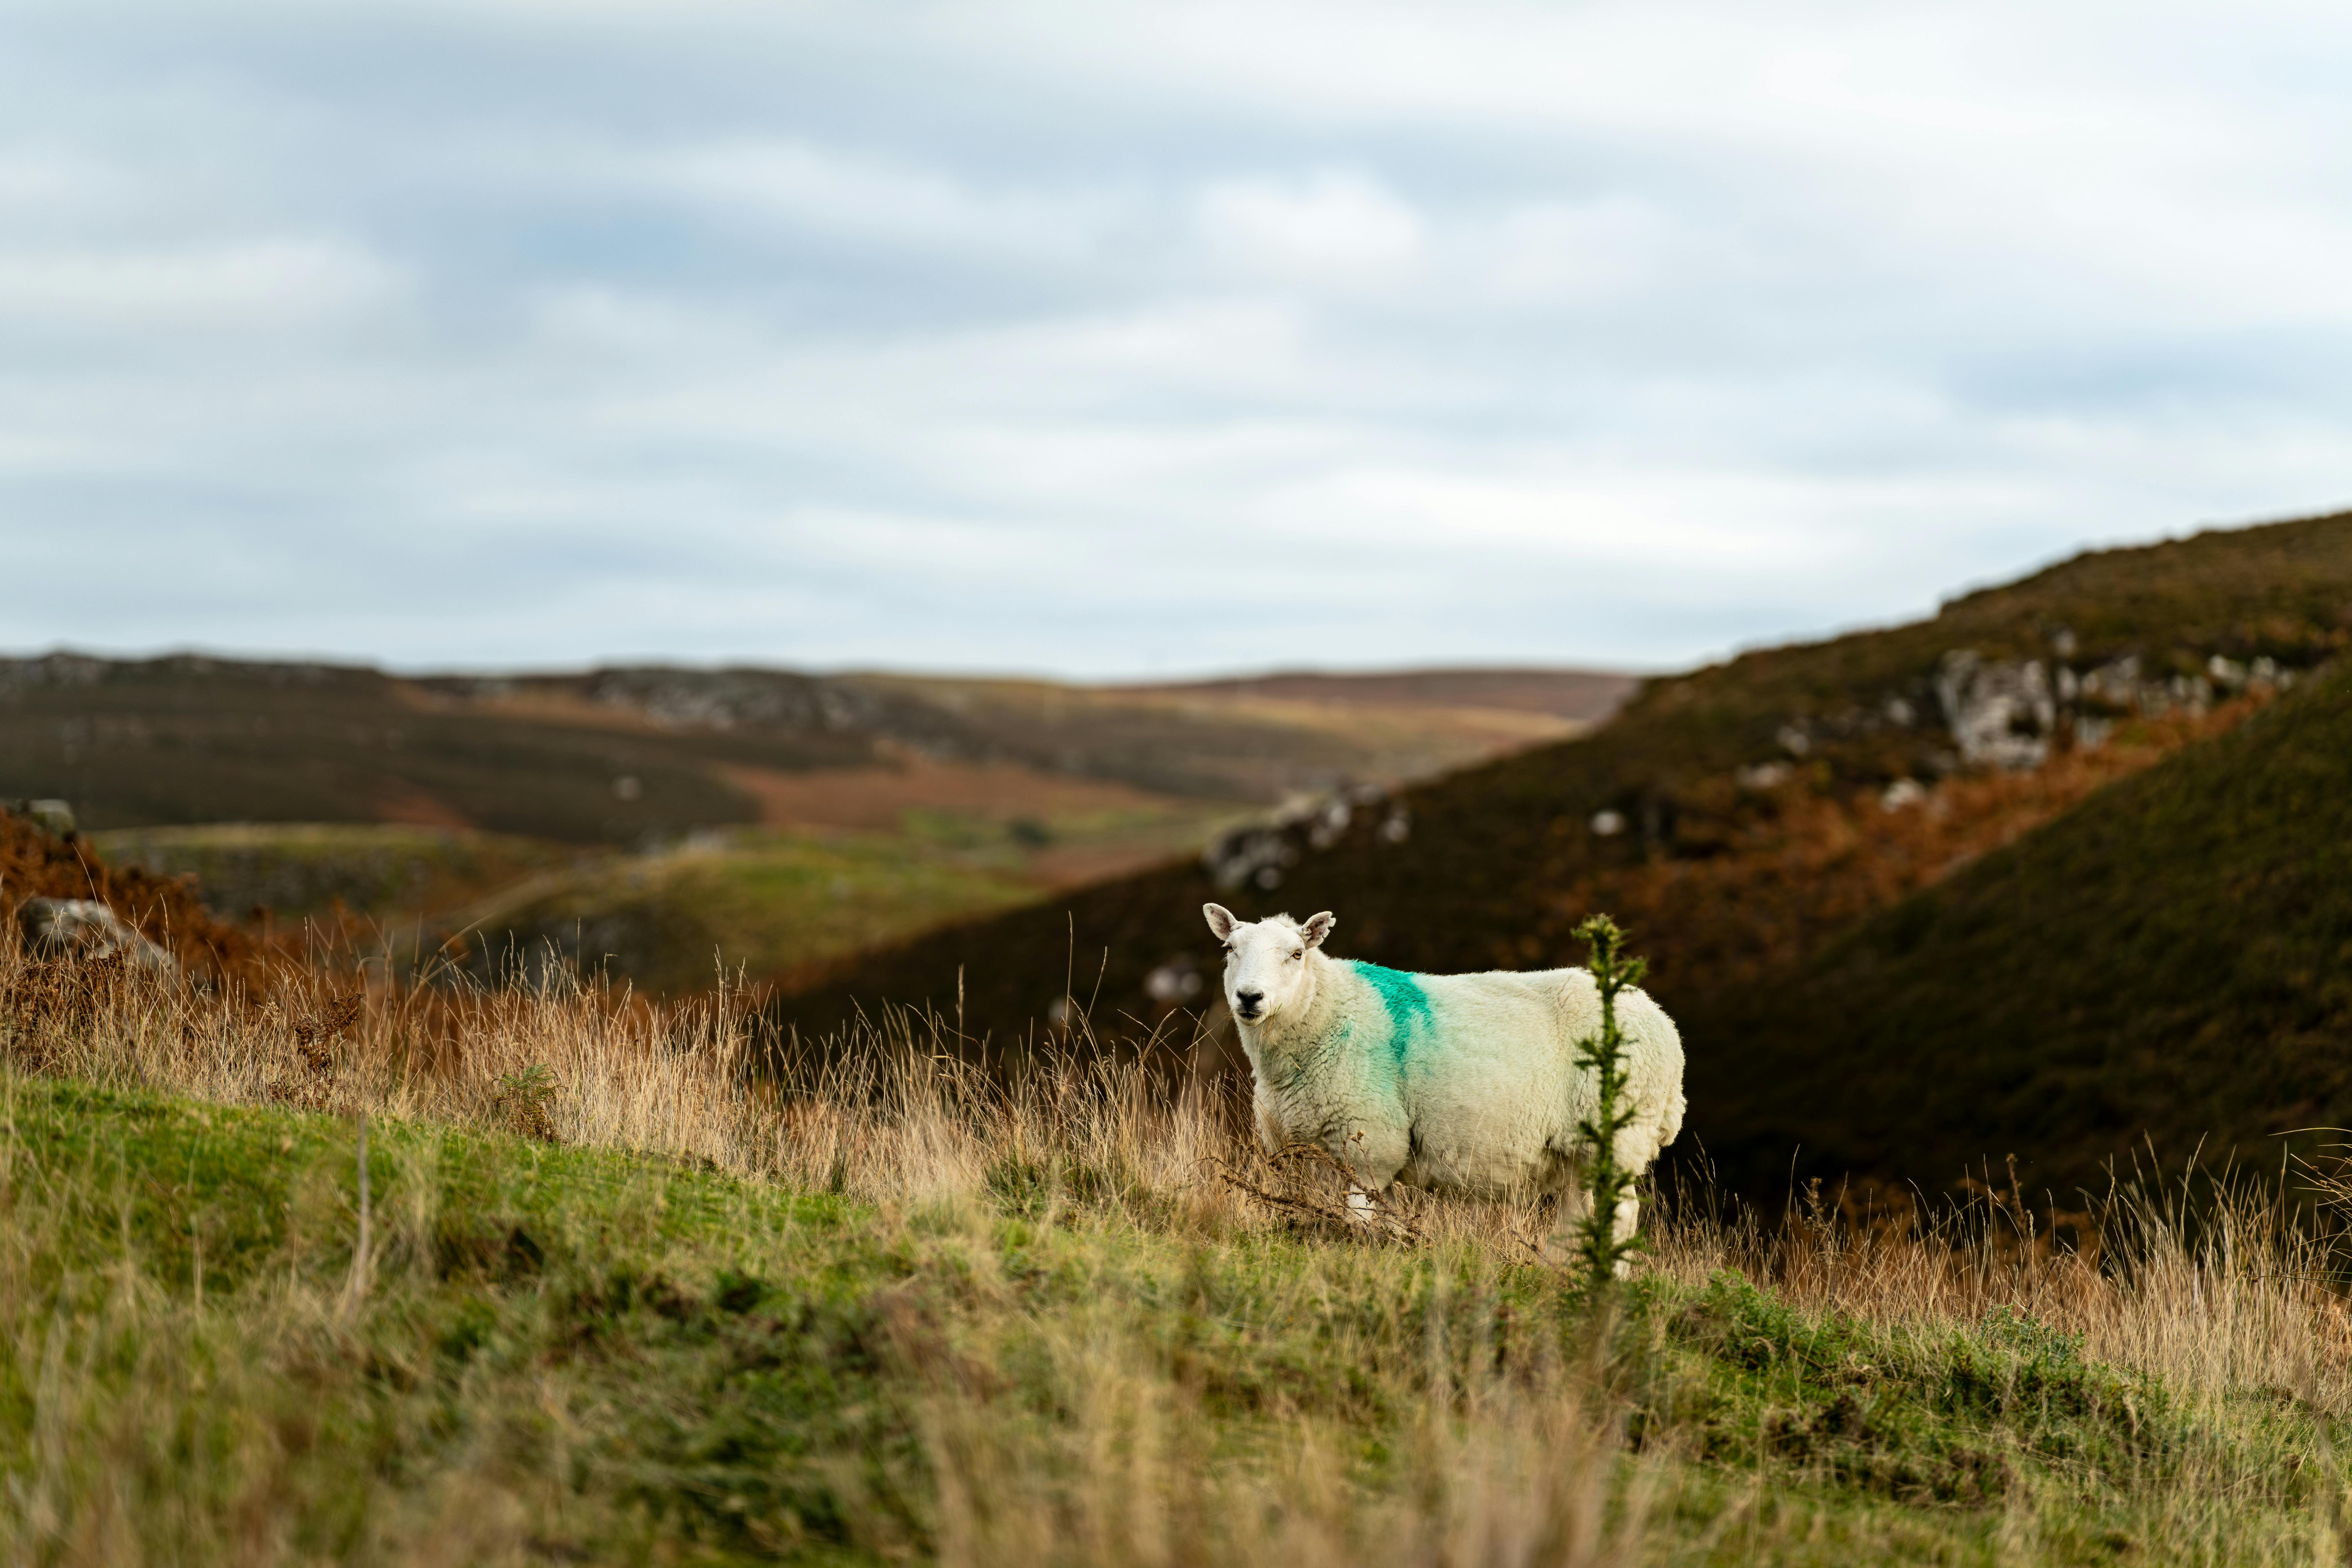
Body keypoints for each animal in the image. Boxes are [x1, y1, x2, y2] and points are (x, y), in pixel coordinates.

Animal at [1204, 902, 1685, 1264]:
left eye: (1296, 954)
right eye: (1229, 948)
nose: (1249, 997)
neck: (1324, 1013)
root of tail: (1664, 1023)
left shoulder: (1369, 1141)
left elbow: (1357, 1221)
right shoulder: (1334, 1153)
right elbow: (1384, 1220)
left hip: (1620, 1135)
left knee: (1622, 1215)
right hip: (1575, 1153)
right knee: (1575, 1216)